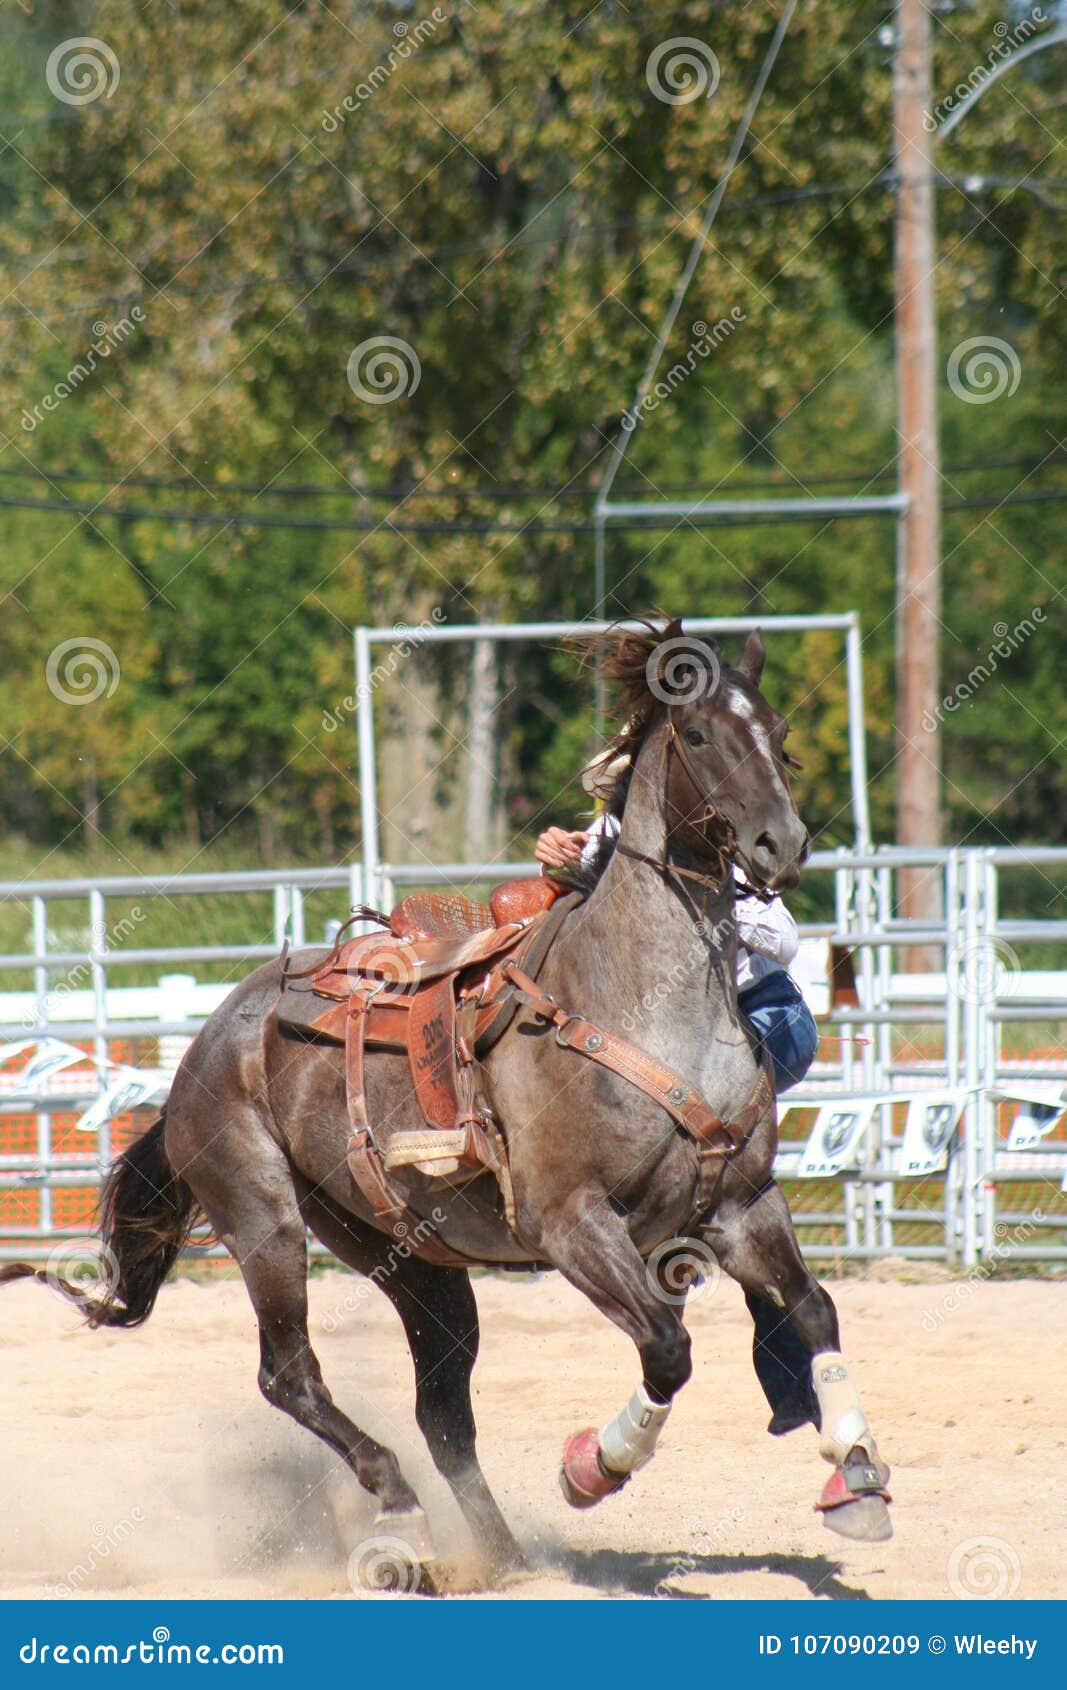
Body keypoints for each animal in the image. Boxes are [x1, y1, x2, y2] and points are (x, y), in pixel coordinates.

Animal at [3, 621, 892, 1588]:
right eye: (697, 736)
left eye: (778, 734)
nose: (781, 845)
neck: (649, 1008)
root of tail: (203, 1052)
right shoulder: (571, 1222)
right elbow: (666, 1346)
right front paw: (593, 1467)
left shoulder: (741, 1204)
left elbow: (813, 1310)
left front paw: (857, 1474)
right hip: (264, 1220)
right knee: (291, 1375)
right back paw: (404, 1514)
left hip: (412, 1260)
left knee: (442, 1415)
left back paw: (501, 1560)